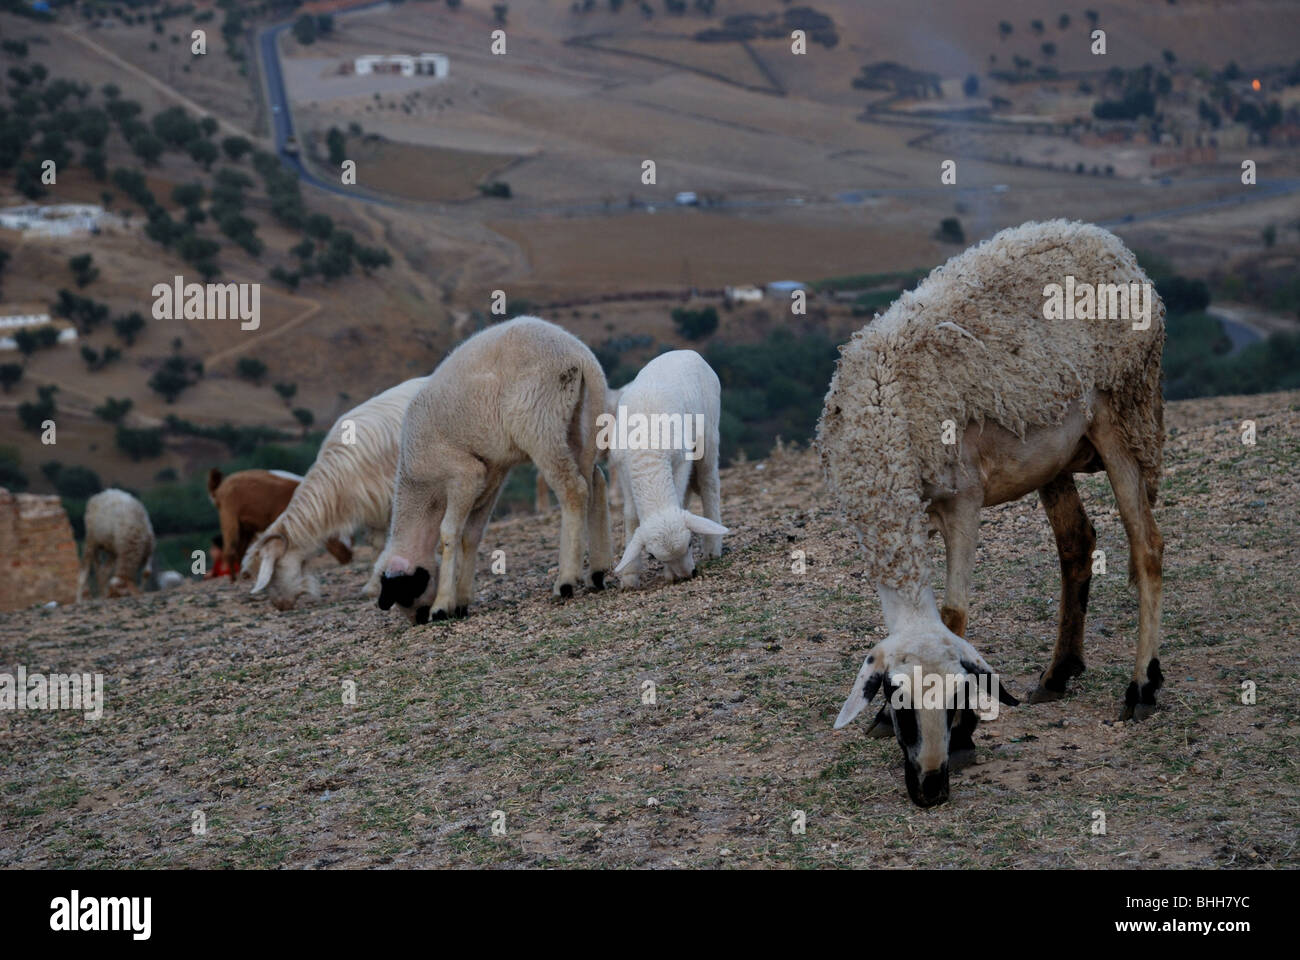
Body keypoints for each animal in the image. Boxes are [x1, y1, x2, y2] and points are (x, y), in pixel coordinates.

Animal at [208, 468, 352, 581]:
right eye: (335, 535)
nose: (348, 556)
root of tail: (219, 489)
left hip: (246, 527)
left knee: (241, 549)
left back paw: (244, 574)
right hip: (229, 516)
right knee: (230, 548)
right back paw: (234, 578)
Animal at [378, 316, 613, 622]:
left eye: (404, 592)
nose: (419, 619)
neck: (423, 488)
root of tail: (580, 355)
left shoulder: (463, 474)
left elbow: (449, 534)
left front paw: (443, 605)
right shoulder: (491, 475)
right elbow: (471, 535)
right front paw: (462, 601)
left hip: (540, 423)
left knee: (573, 489)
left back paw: (566, 581)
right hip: (580, 420)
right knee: (595, 481)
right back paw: (597, 571)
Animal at [608, 351, 727, 586]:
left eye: (690, 544)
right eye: (653, 555)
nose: (687, 575)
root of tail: (686, 351)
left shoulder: (681, 461)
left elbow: (679, 497)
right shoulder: (624, 471)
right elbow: (630, 514)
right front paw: (629, 576)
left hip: (709, 432)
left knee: (709, 482)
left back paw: (712, 547)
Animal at [817, 219, 1165, 807]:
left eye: (957, 702)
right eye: (903, 709)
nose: (931, 790)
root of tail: (1105, 240)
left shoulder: (963, 497)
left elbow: (955, 613)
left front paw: (965, 741)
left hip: (1122, 411)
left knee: (1147, 548)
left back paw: (1141, 686)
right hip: (1054, 451)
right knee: (1078, 542)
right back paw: (1057, 674)